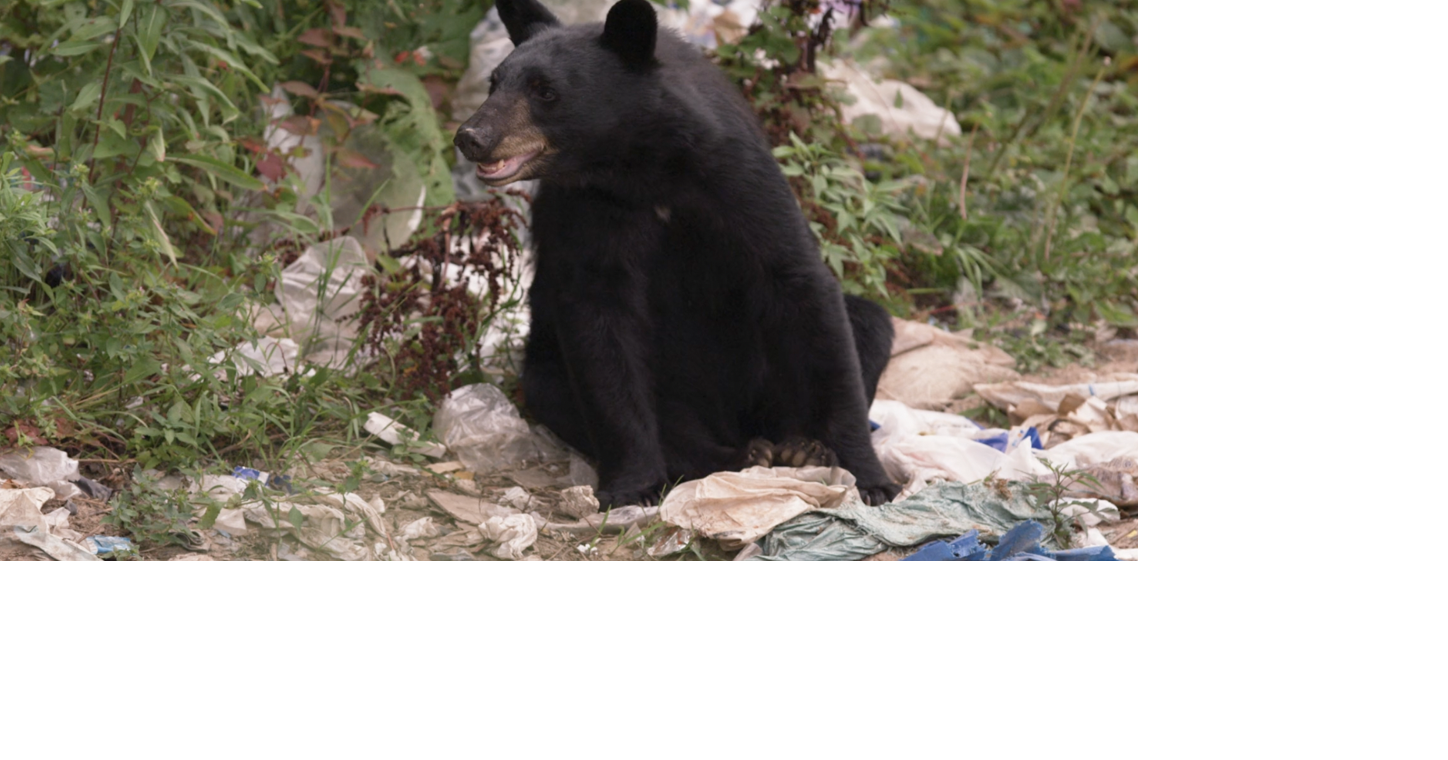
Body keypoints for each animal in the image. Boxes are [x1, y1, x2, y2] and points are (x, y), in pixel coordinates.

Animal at [454, 0, 902, 507]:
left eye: (546, 91)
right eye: (494, 83)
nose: (471, 136)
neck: (641, 168)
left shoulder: (739, 180)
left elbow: (802, 288)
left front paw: (870, 477)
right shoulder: (585, 210)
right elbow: (601, 330)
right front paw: (632, 485)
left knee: (867, 325)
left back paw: (800, 447)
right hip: (566, 377)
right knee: (568, 394)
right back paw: (739, 456)